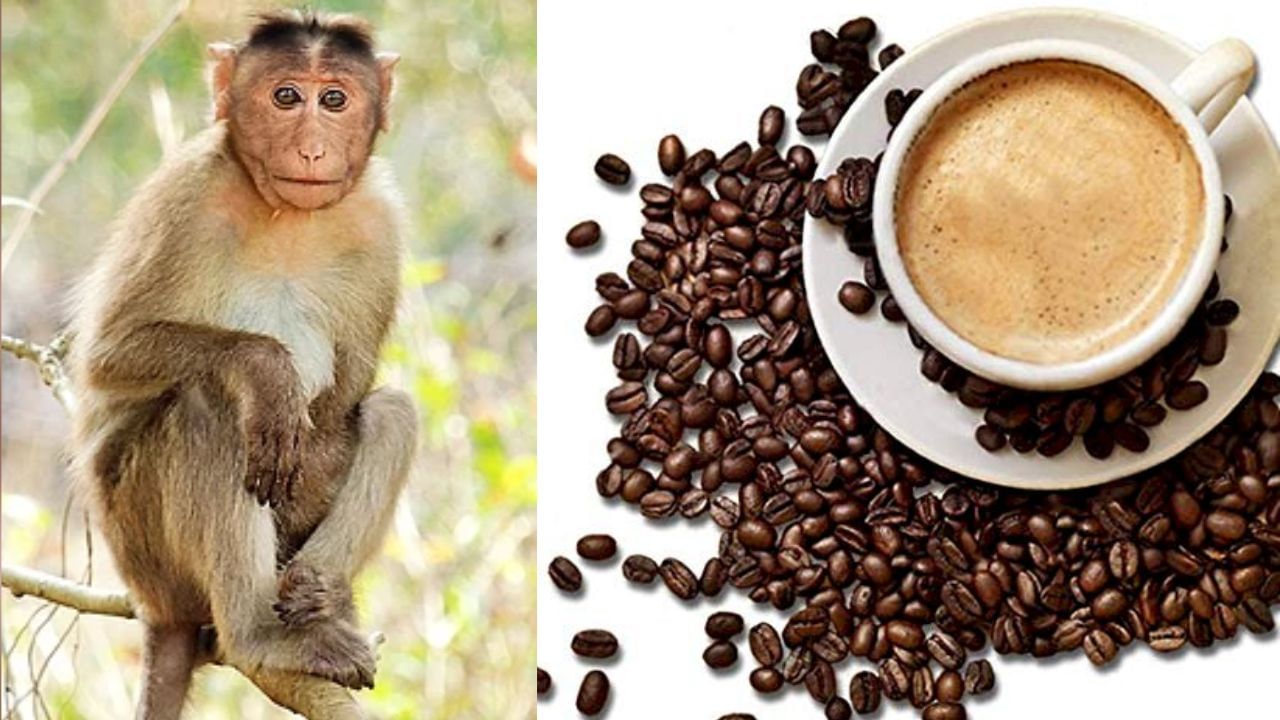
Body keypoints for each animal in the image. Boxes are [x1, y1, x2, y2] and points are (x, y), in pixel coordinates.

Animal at [65, 10, 415, 719]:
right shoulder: (185, 196)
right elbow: (106, 358)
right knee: (211, 407)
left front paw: (324, 591)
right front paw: (267, 371)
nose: (310, 149)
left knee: (391, 411)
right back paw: (261, 635)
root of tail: (158, 611)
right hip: (145, 548)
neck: (287, 215)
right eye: (285, 97)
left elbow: (348, 401)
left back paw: (319, 599)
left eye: (333, 99)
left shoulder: (380, 223)